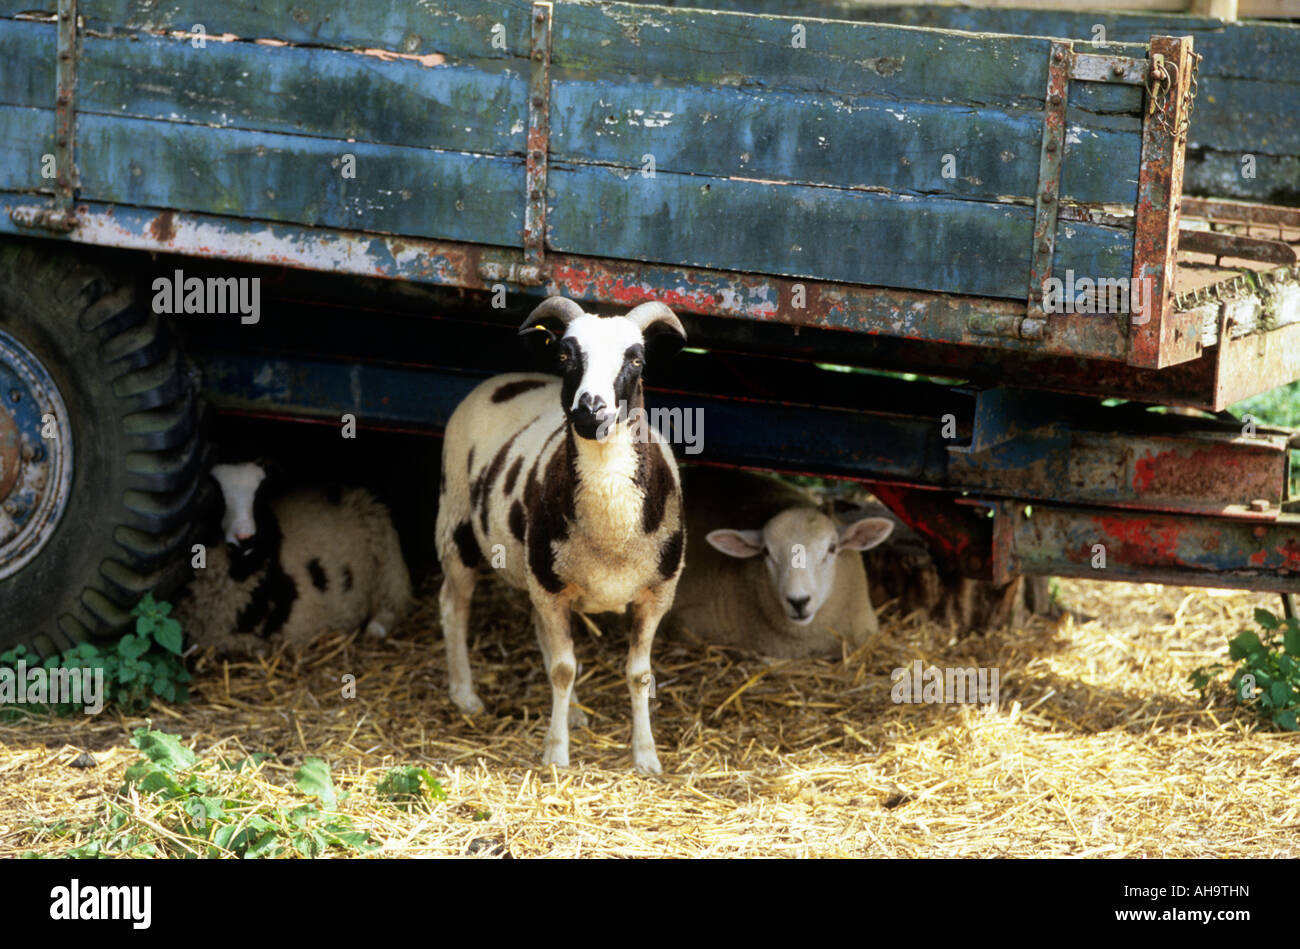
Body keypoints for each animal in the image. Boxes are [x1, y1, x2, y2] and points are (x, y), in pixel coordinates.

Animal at [176, 461, 413, 656]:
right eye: (216, 498)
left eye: (260, 498)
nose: (245, 538)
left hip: (385, 547)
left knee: (395, 596)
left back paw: (377, 627)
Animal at [435, 296, 687, 774]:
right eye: (567, 355)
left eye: (636, 359)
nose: (590, 410)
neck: (611, 531)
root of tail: (507, 379)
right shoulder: (551, 587)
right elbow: (563, 670)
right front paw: (556, 752)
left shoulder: (656, 593)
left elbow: (639, 674)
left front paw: (646, 756)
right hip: (456, 522)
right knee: (454, 605)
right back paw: (464, 695)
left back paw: (571, 713)